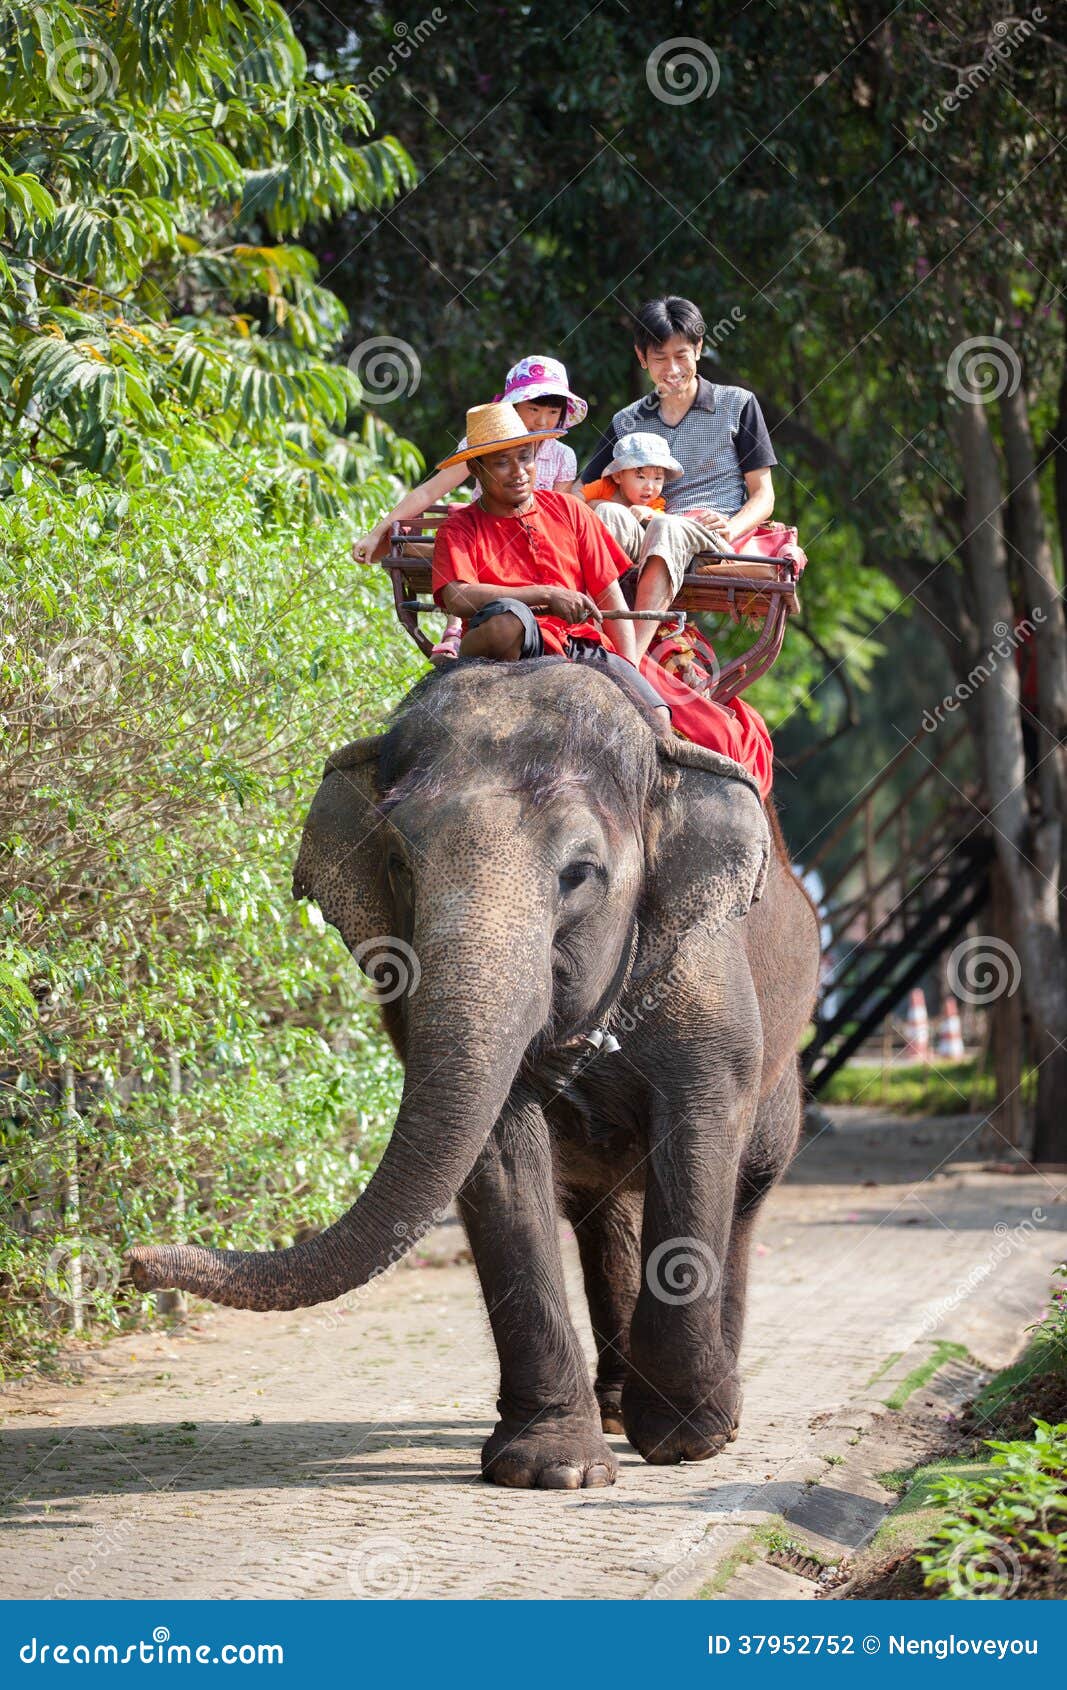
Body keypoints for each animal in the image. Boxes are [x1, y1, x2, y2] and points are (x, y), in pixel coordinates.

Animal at [128, 656, 821, 1489]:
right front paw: (551, 1469)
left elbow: (696, 1135)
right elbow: (495, 1147)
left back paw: (712, 1410)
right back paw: (615, 1412)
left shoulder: (705, 975)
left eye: (580, 872)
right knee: (604, 1211)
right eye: (399, 864)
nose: (134, 1263)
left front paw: (687, 1442)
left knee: (743, 1188)